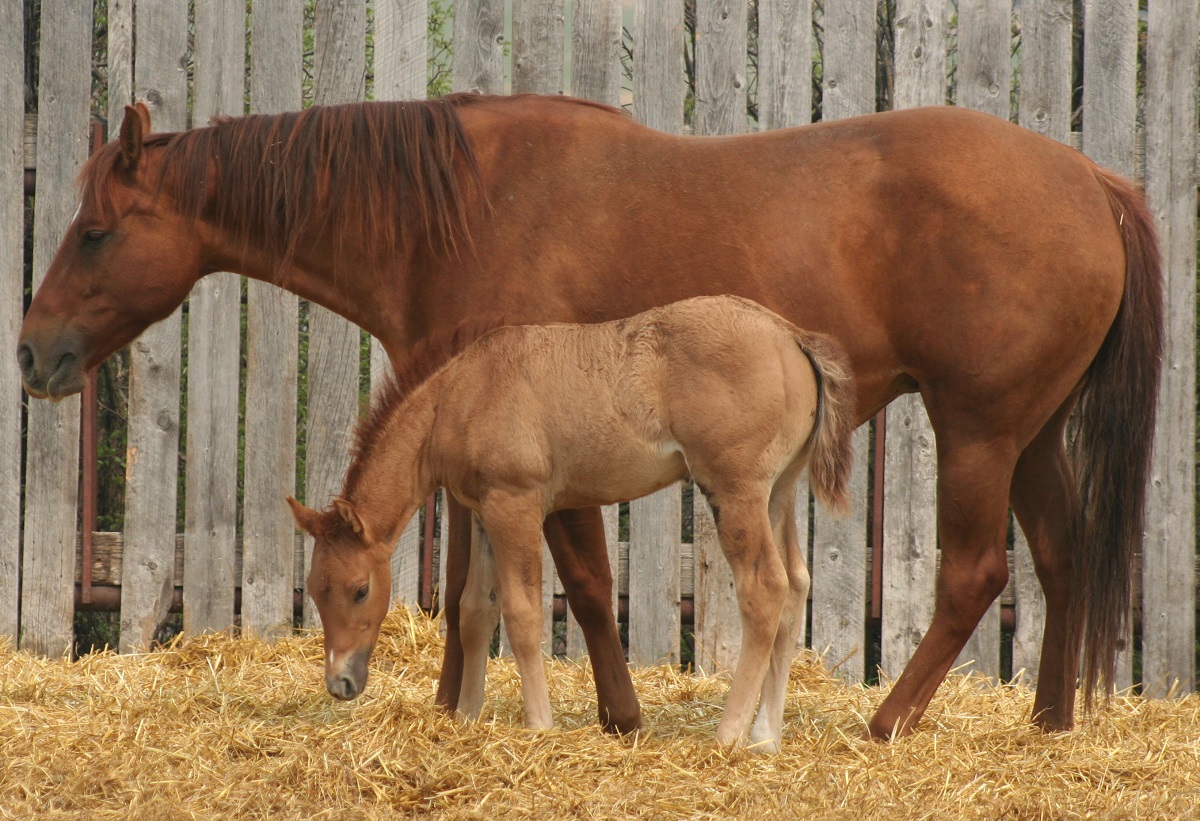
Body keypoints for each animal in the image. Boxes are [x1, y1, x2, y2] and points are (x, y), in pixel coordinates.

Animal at [288, 295, 855, 751]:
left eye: (360, 590)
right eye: (314, 590)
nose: (340, 683)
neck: (459, 393)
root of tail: (791, 336)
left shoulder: (514, 503)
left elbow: (521, 614)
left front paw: (538, 725)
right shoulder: (482, 510)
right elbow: (474, 610)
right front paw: (468, 718)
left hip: (735, 491)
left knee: (765, 589)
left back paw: (729, 734)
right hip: (779, 490)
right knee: (796, 584)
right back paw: (766, 737)